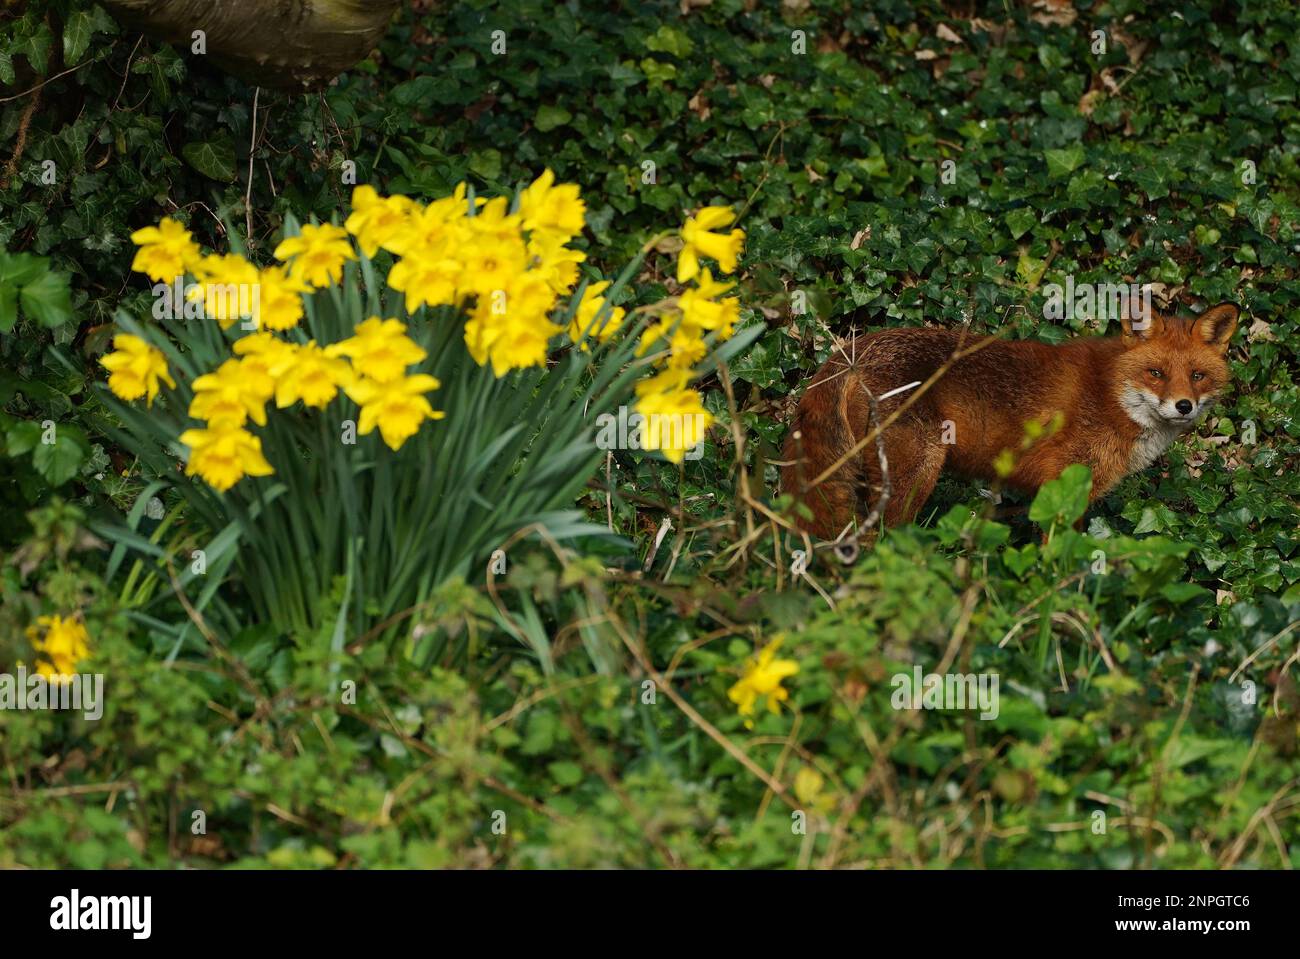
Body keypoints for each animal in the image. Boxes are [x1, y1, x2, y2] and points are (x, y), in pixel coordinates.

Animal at [781, 301, 1240, 541]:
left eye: (1197, 376)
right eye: (1156, 373)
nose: (1183, 406)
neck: (1111, 394)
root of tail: (854, 351)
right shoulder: (1064, 486)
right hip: (917, 473)